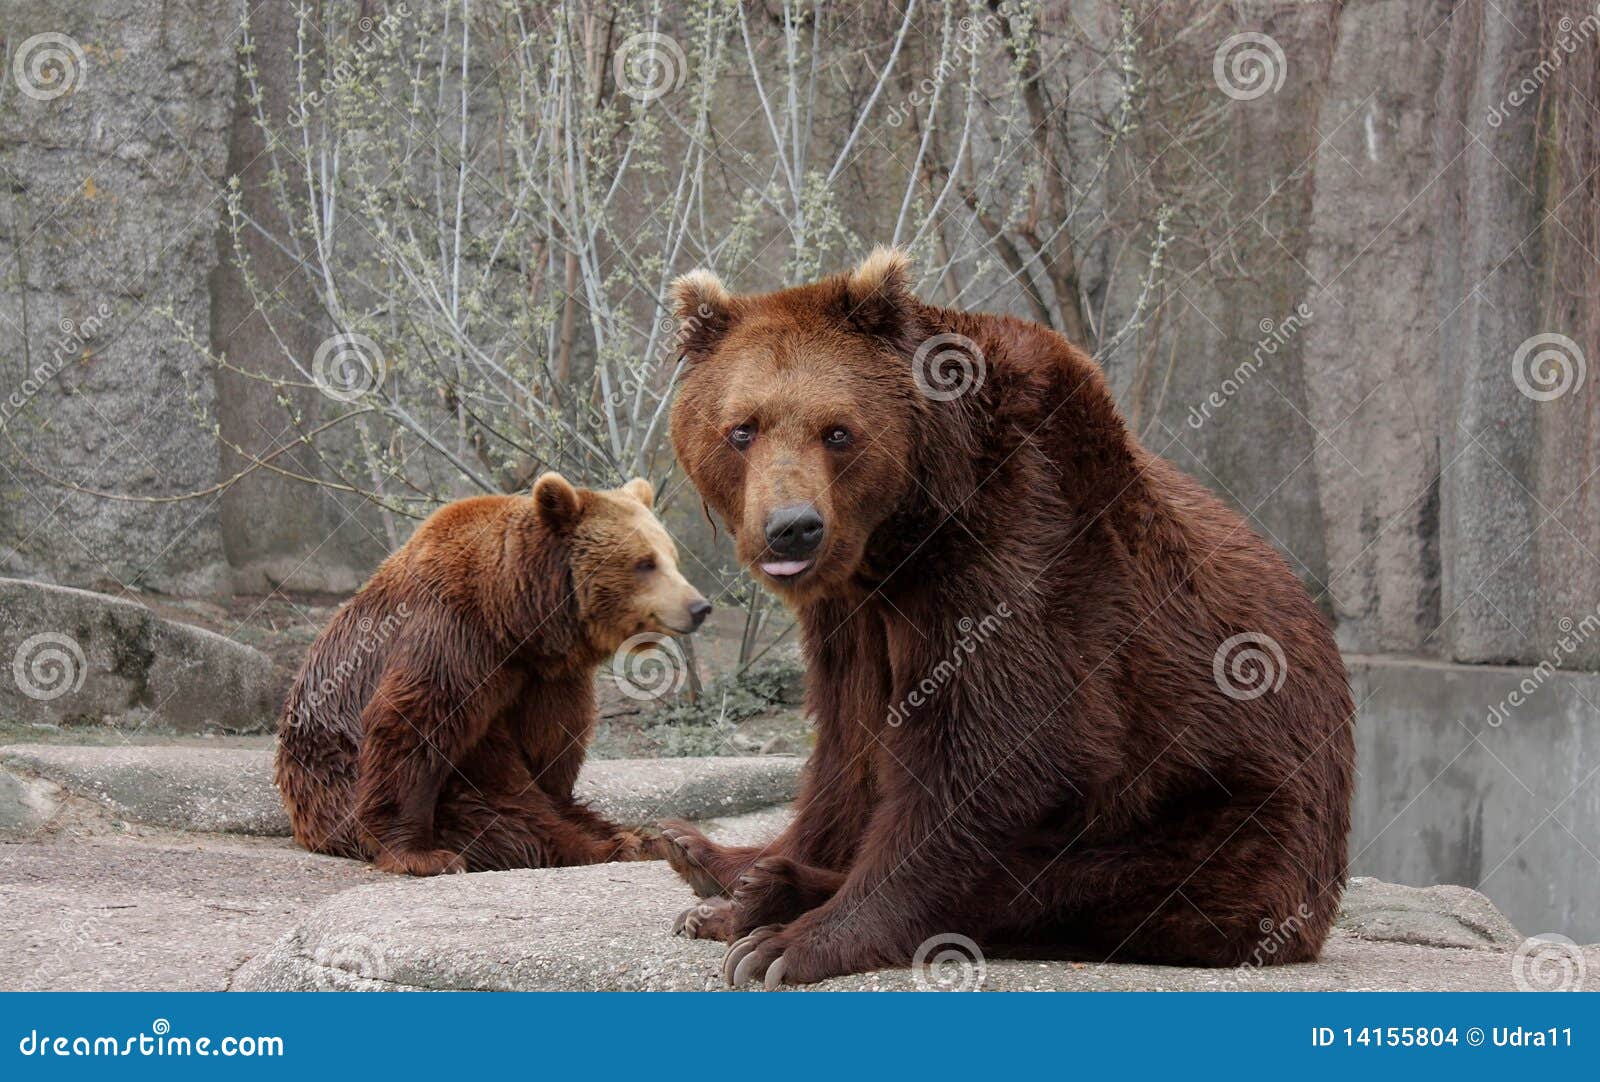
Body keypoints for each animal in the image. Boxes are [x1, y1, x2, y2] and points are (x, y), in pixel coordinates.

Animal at [274, 473, 711, 875]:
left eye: (673, 557)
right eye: (645, 563)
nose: (699, 606)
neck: (513, 617)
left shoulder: (547, 678)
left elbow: (554, 742)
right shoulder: (452, 636)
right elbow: (413, 725)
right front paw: (423, 854)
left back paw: (635, 835)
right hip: (329, 778)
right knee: (498, 820)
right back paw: (612, 843)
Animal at [658, 248, 1354, 987]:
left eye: (837, 431)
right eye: (742, 428)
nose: (792, 528)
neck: (904, 537)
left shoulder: (1022, 550)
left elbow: (999, 756)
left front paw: (787, 945)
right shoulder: (851, 616)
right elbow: (849, 745)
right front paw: (734, 878)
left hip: (1231, 815)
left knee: (1071, 886)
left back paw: (769, 896)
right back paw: (711, 862)